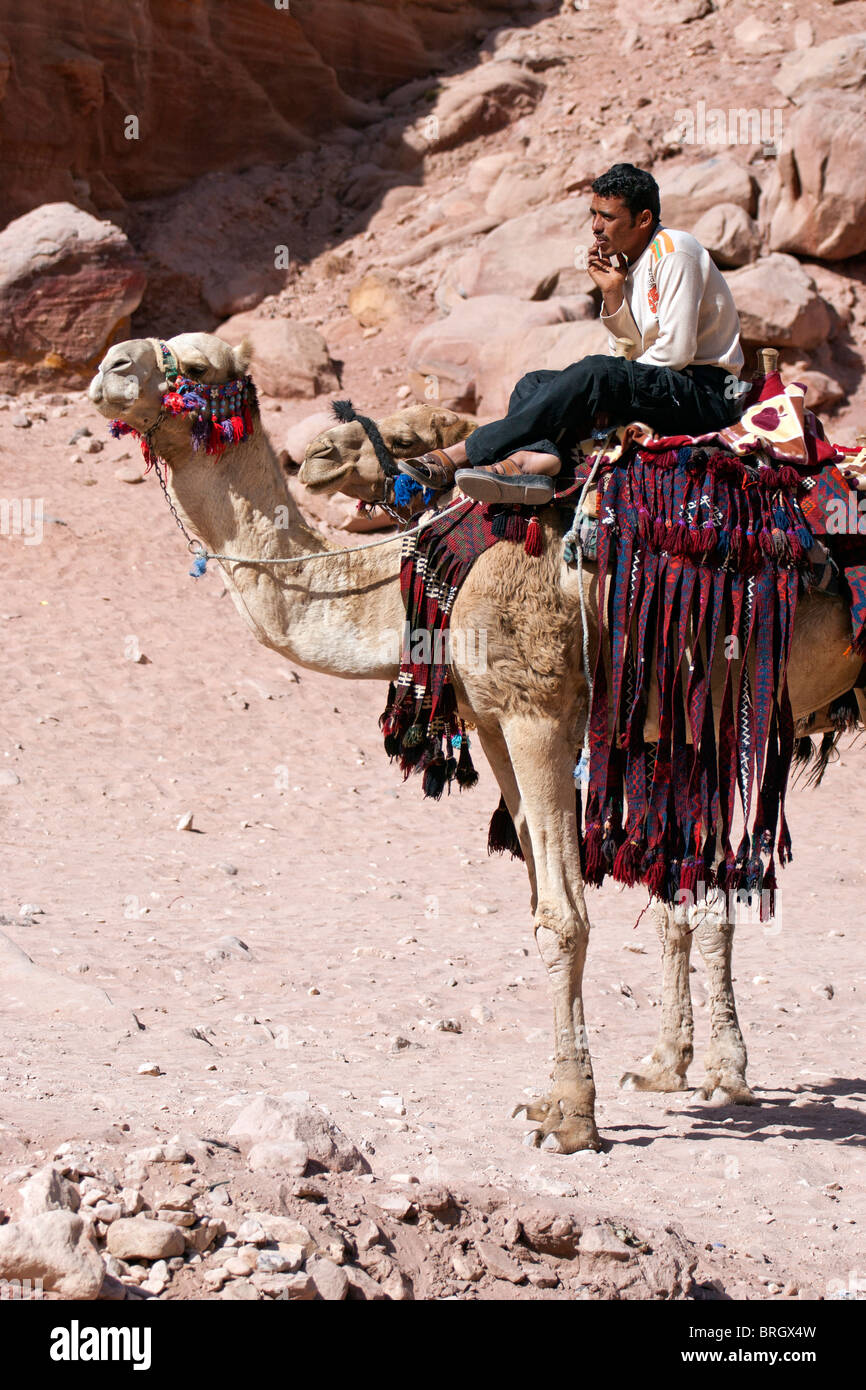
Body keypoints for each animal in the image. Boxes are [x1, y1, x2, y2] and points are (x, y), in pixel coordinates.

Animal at [89, 333, 863, 1152]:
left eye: (197, 367)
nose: (110, 368)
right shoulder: (498, 724)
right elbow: (610, 900)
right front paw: (588, 1091)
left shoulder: (540, 711)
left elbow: (567, 918)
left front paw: (577, 1118)